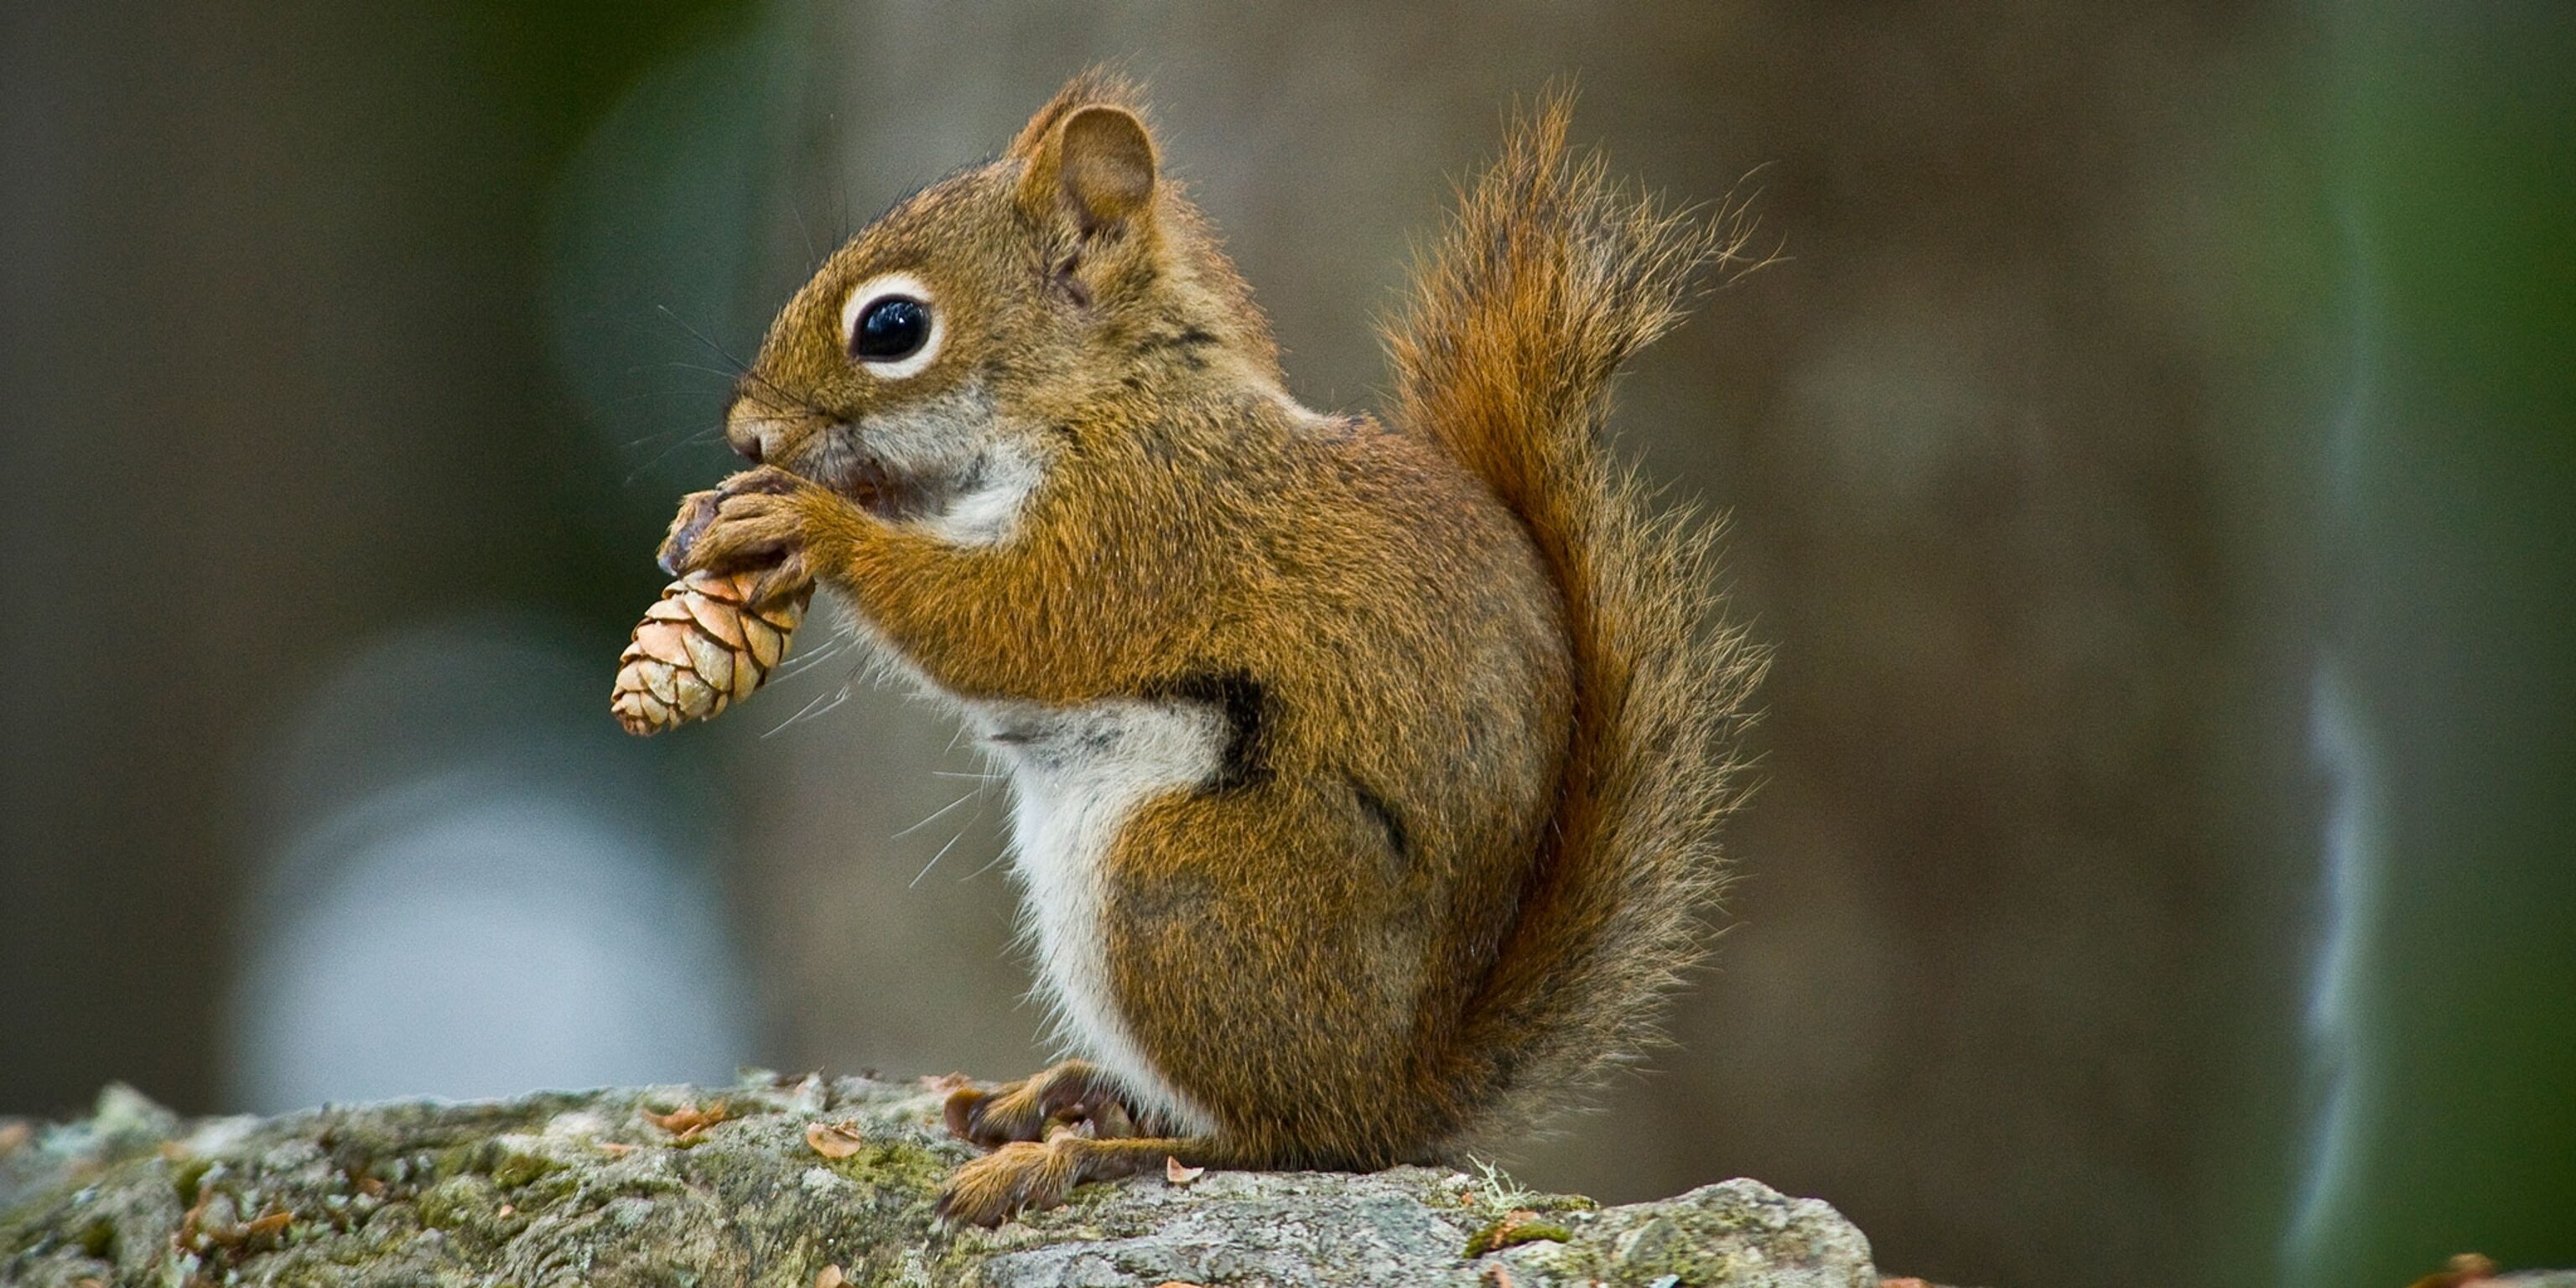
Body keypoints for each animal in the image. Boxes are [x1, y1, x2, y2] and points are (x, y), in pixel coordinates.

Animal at [657, 71, 1763, 1226]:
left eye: (893, 325)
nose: (748, 437)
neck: (1109, 394)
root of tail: (1399, 1095)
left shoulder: (1145, 526)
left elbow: (1008, 621)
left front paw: (808, 523)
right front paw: (715, 510)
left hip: (1176, 889)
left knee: (1283, 1140)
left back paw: (1083, 1154)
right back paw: (1064, 1094)